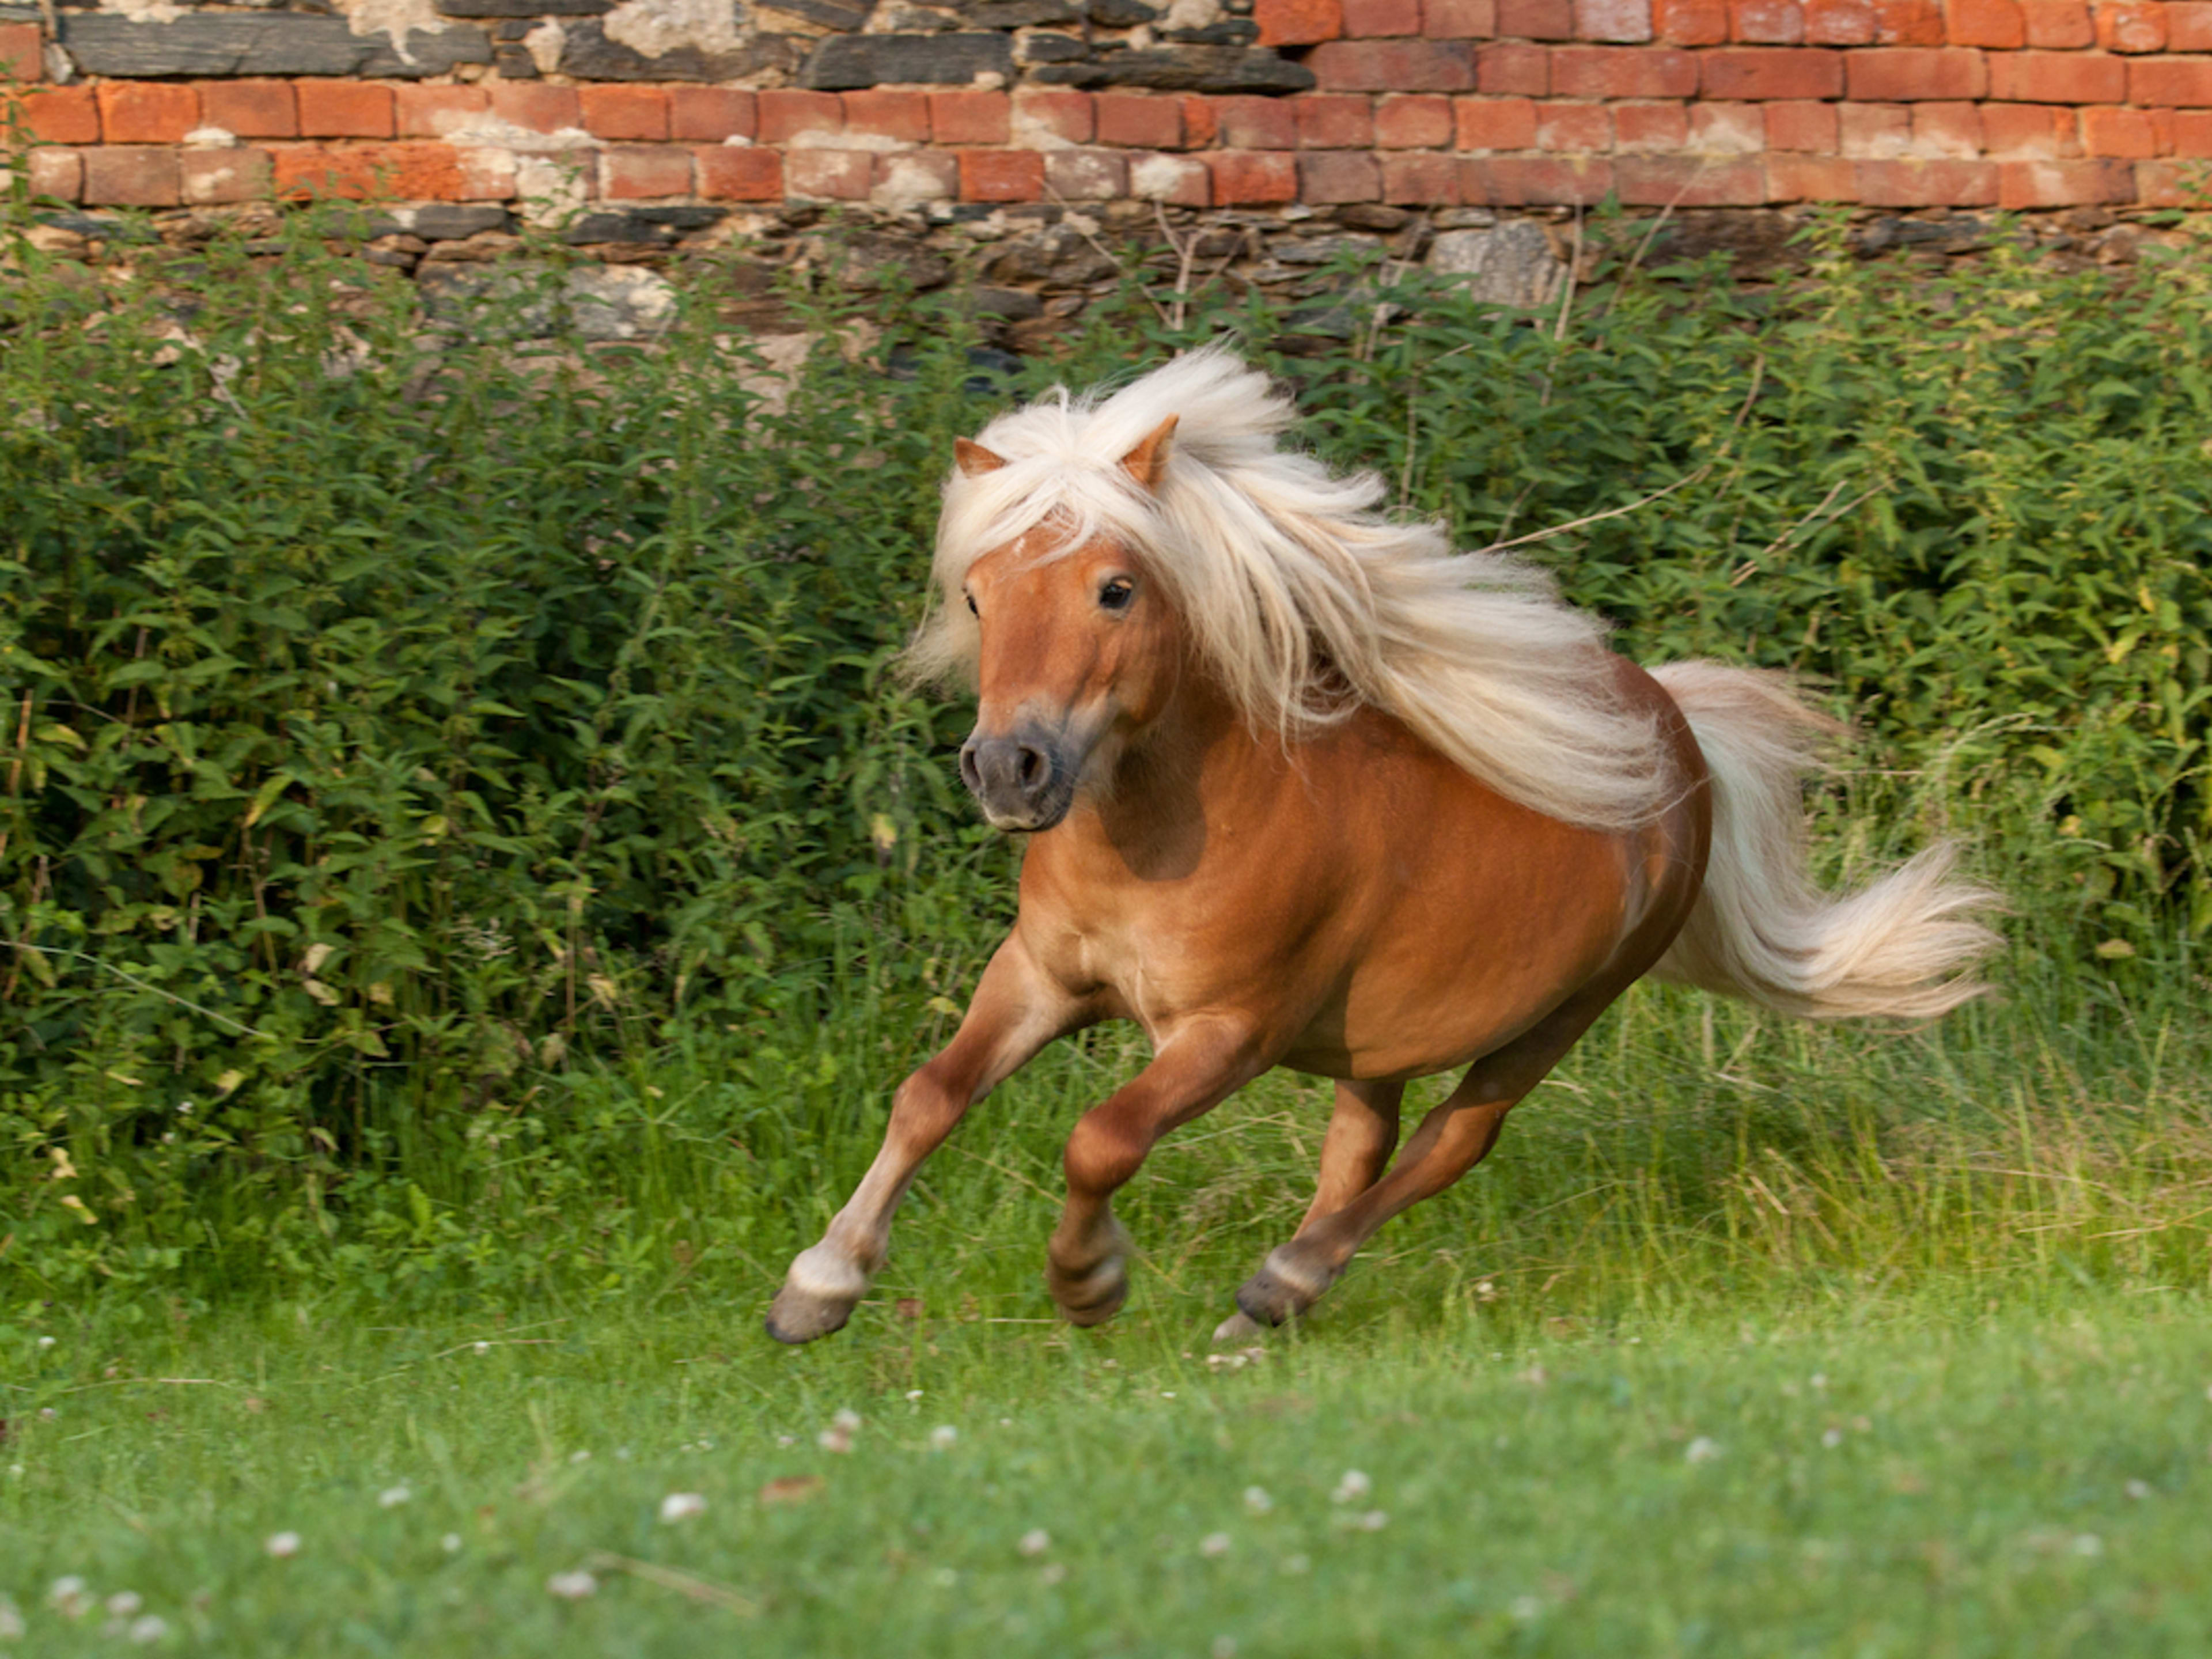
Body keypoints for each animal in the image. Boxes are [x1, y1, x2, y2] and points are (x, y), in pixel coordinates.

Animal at [766, 346, 1999, 1347]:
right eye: (977, 598)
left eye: (1115, 589)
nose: (1007, 769)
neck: (1158, 838)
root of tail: (1680, 732)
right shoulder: (1038, 978)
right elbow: (928, 1095)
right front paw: (818, 1289)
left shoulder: (1230, 1032)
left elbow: (1101, 1139)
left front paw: (1089, 1284)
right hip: (1386, 1034)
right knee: (1363, 1149)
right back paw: (1262, 1313)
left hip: (1559, 1017)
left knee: (1450, 1146)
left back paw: (1281, 1285)